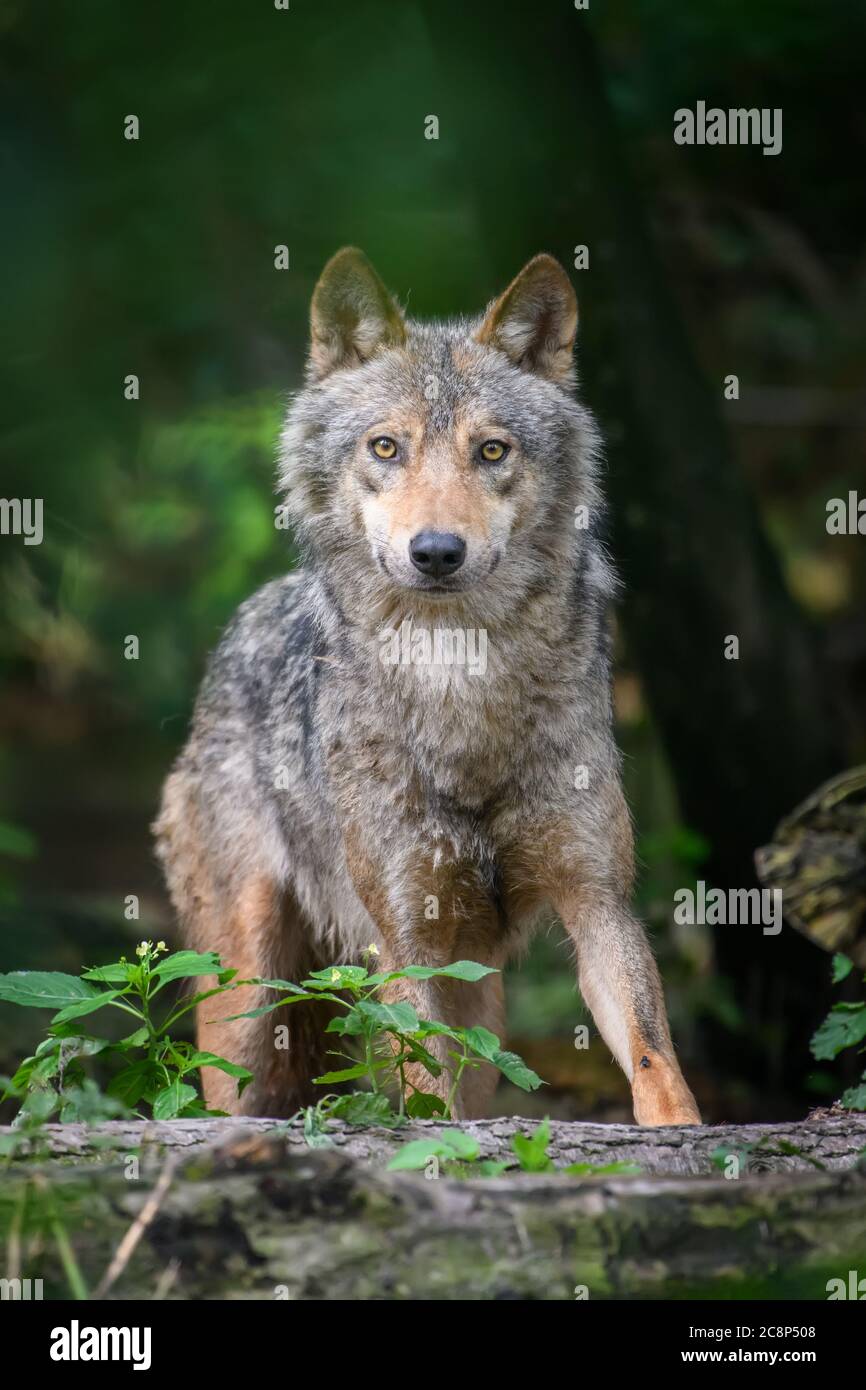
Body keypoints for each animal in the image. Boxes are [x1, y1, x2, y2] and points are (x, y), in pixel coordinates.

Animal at [154, 248, 701, 1126]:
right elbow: (425, 1101)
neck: (459, 684)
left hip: (481, 1003)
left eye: (492, 452)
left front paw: (685, 1136)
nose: (437, 551)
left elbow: (654, 1052)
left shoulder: (598, 899)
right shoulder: (406, 936)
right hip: (247, 1004)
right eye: (386, 447)